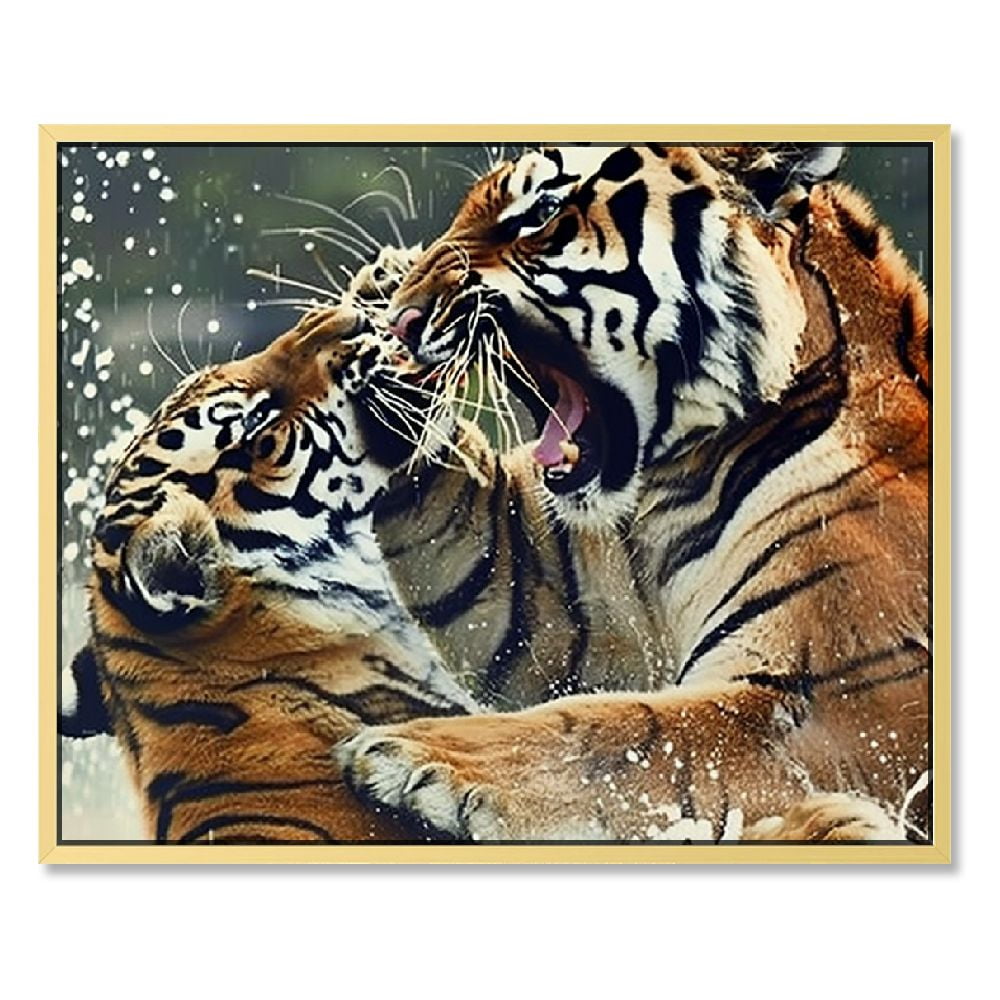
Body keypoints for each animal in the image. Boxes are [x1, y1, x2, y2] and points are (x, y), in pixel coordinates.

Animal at [336, 144, 931, 843]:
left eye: (541, 210)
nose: (402, 319)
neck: (685, 484)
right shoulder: (568, 613)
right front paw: (375, 324)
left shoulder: (828, 706)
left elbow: (621, 732)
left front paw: (411, 750)